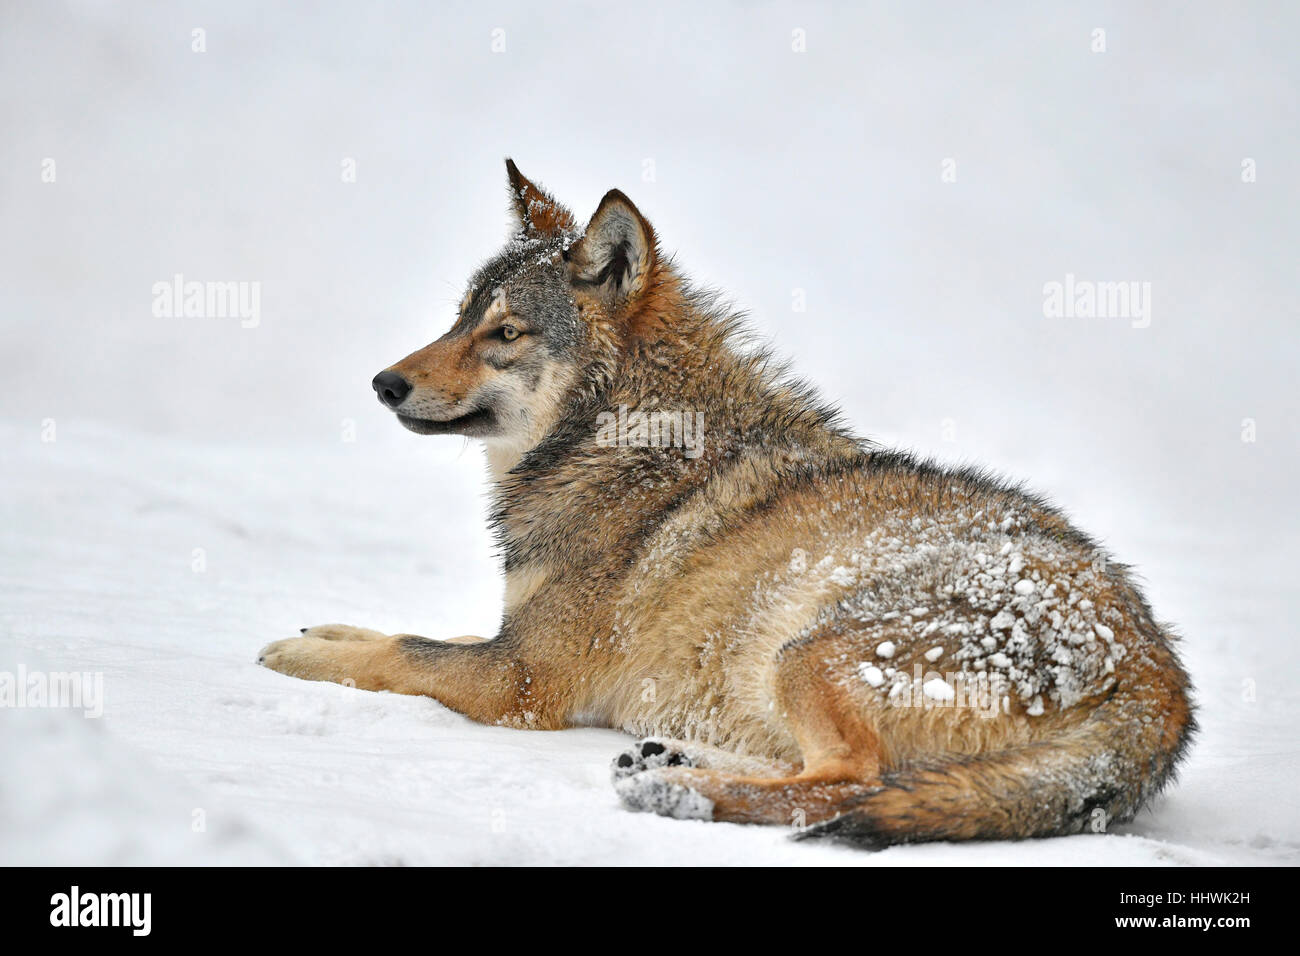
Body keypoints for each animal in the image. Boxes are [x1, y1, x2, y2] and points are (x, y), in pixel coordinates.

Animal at [258, 161, 1195, 846]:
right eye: (458, 319)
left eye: (505, 333)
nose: (383, 384)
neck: (616, 440)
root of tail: (1162, 685)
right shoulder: (513, 637)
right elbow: (424, 631)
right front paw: (327, 627)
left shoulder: (518, 681)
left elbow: (404, 655)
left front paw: (297, 655)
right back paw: (668, 761)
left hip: (807, 652)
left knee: (849, 785)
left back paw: (678, 795)